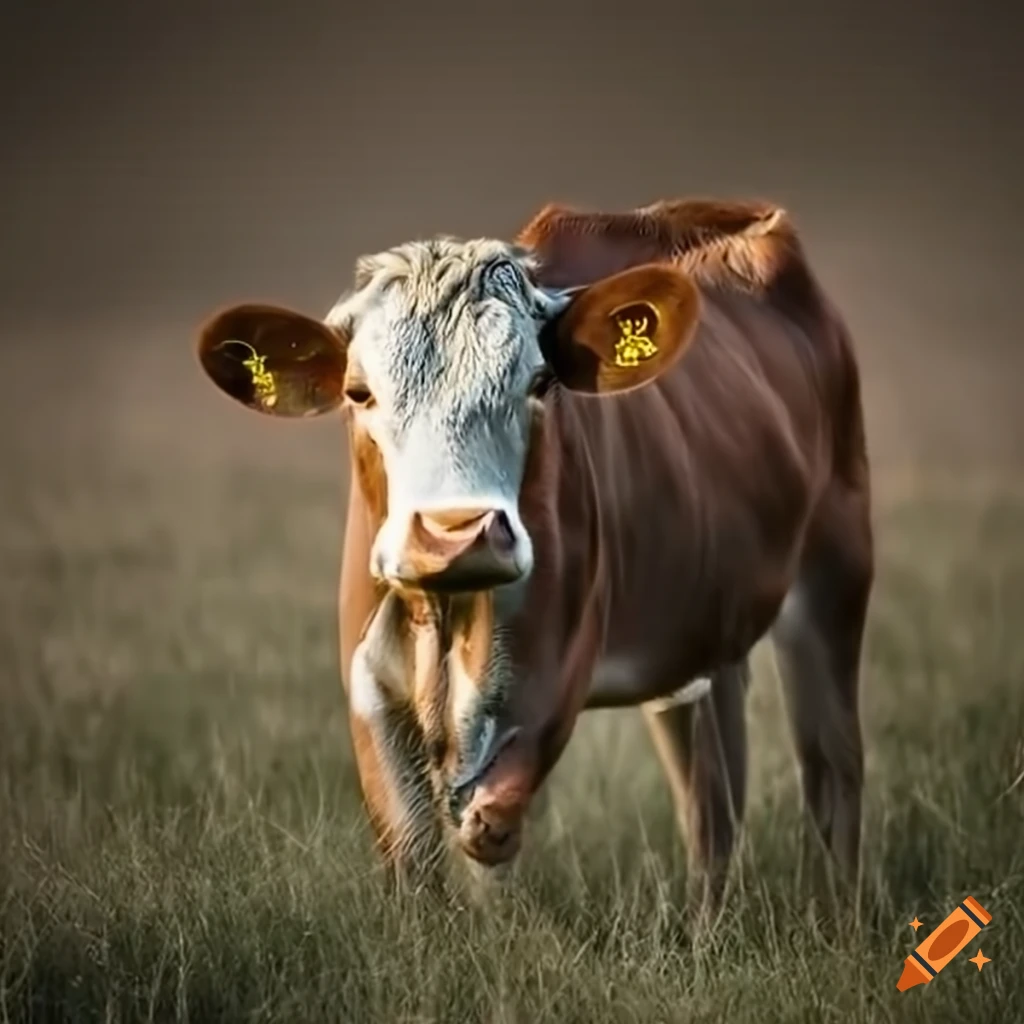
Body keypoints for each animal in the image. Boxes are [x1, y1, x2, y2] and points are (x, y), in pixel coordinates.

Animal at [196, 197, 873, 919]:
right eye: (358, 392)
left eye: (540, 380)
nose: (453, 534)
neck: (450, 617)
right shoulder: (371, 687)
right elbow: (410, 850)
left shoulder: (555, 671)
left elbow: (489, 829)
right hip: (700, 638)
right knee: (711, 793)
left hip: (836, 572)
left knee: (832, 766)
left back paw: (841, 915)